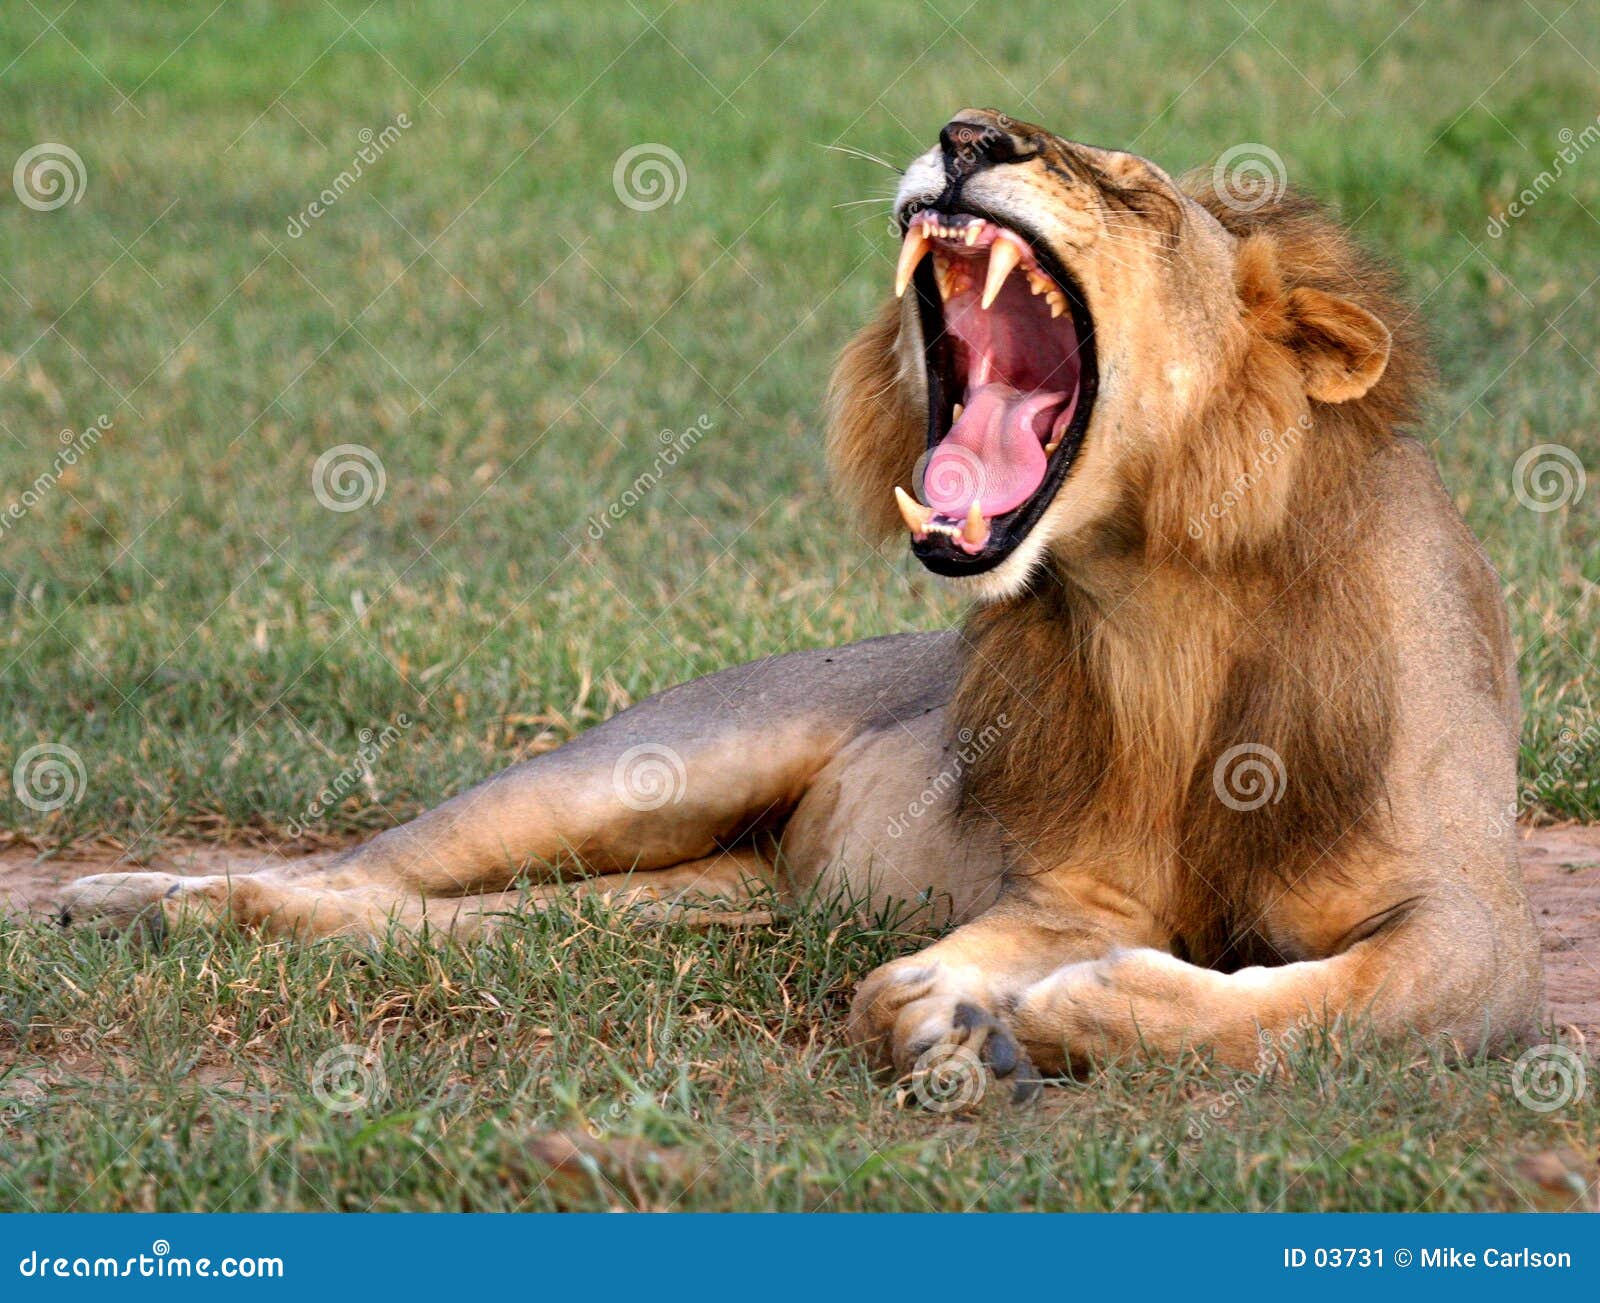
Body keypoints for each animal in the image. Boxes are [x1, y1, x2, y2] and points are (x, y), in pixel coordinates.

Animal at [57, 110, 1544, 1093]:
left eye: (1128, 190)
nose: (968, 132)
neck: (1161, 600)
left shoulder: (1475, 921)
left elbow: (1340, 1001)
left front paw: (1022, 1014)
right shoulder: (1078, 881)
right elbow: (1028, 955)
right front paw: (951, 1003)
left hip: (696, 895)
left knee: (465, 915)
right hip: (640, 768)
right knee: (354, 869)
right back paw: (140, 898)